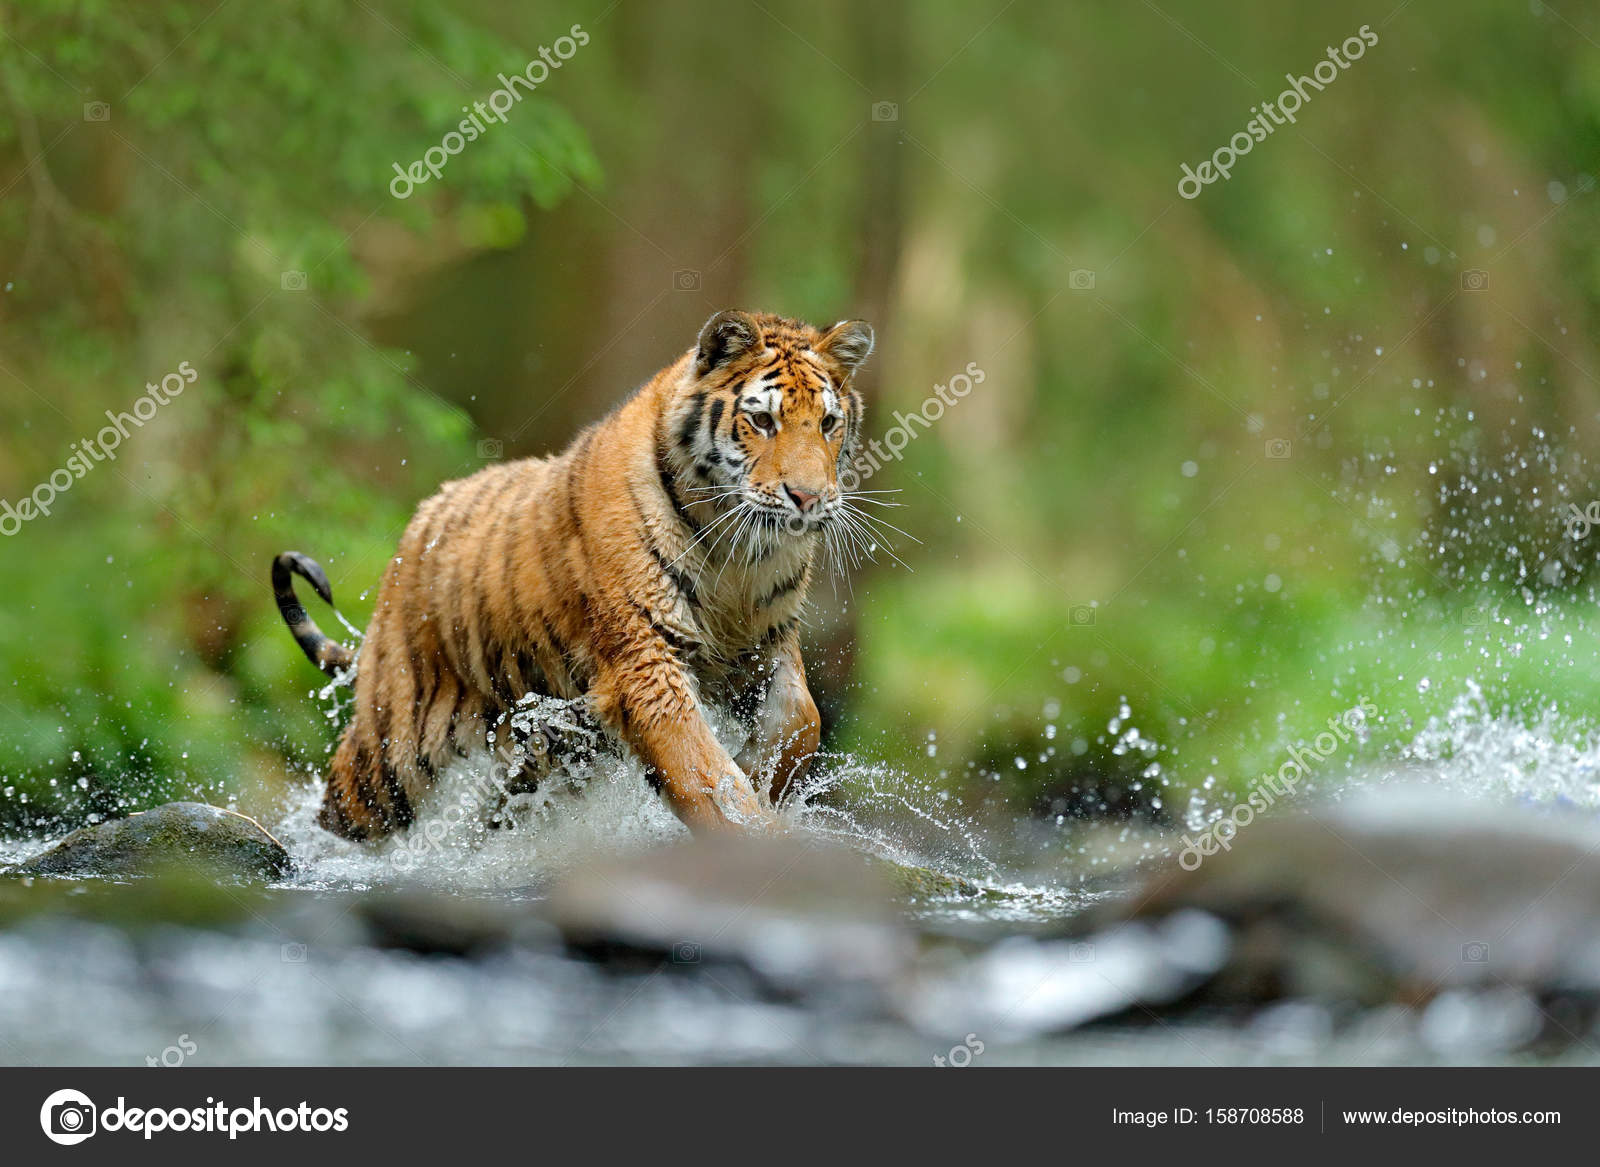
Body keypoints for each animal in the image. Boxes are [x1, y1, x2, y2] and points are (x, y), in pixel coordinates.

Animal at [272, 309, 876, 839]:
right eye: (762, 420)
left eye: (828, 423)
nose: (808, 498)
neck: (739, 552)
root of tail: (414, 530)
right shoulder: (644, 660)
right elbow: (702, 770)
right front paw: (758, 832)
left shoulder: (767, 641)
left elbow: (803, 717)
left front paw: (762, 773)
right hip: (395, 746)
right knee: (339, 807)